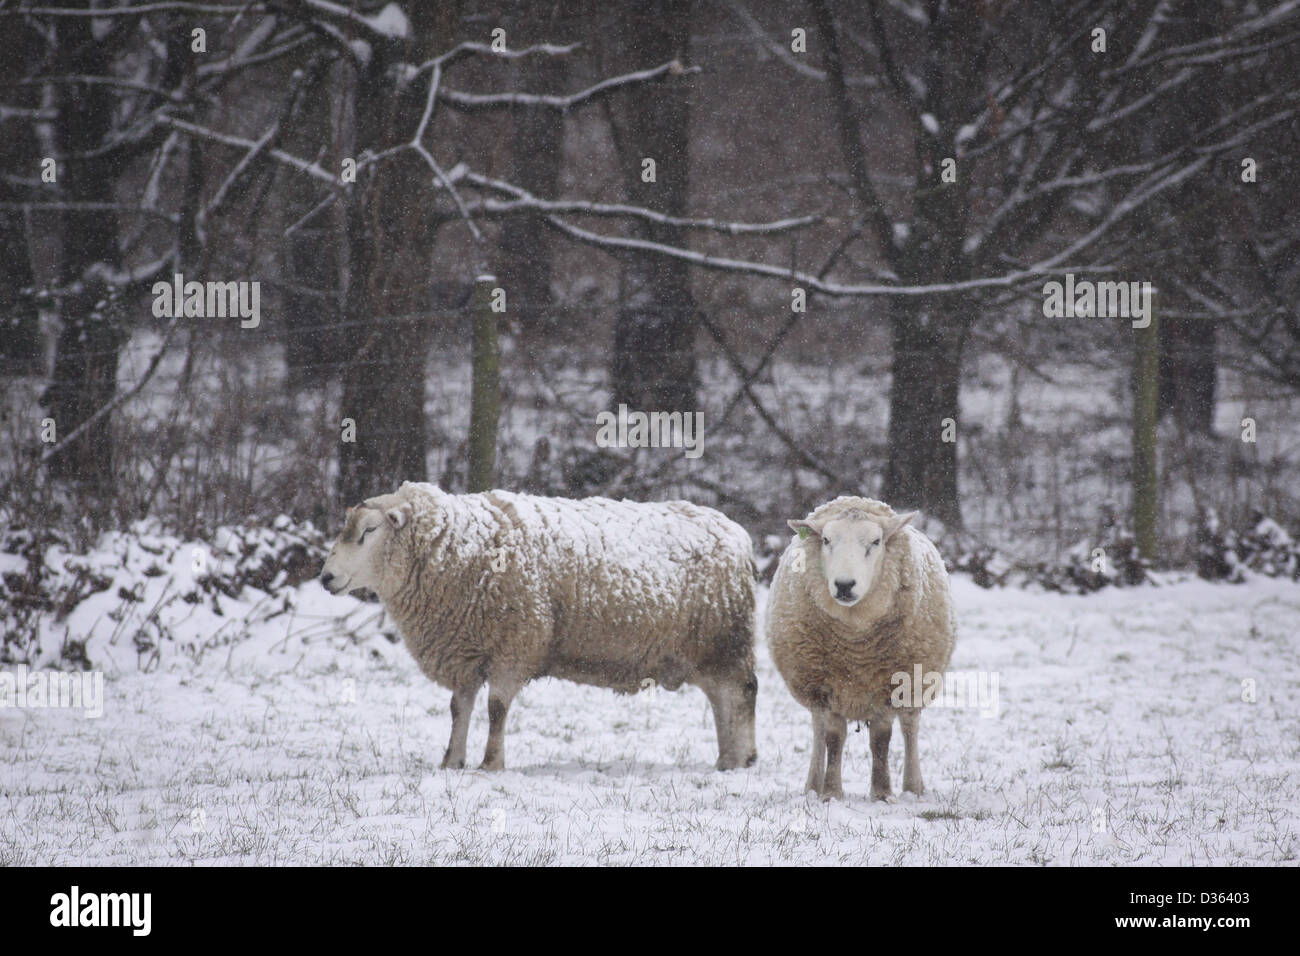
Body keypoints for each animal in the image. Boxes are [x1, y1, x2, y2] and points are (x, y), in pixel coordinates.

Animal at [320, 482, 758, 771]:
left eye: (369, 531)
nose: (326, 578)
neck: (462, 549)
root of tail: (737, 533)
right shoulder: (465, 649)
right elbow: (459, 709)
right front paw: (452, 761)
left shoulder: (514, 644)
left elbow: (496, 709)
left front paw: (491, 764)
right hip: (707, 649)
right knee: (721, 700)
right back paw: (726, 760)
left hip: (725, 640)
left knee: (741, 693)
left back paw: (742, 759)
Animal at [766, 496, 956, 801]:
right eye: (827, 540)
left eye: (876, 542)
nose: (844, 585)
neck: (855, 645)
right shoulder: (826, 684)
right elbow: (833, 737)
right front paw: (831, 793)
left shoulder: (890, 683)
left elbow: (881, 739)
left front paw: (882, 793)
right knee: (818, 730)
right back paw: (812, 785)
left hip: (916, 682)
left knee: (910, 727)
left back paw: (913, 787)